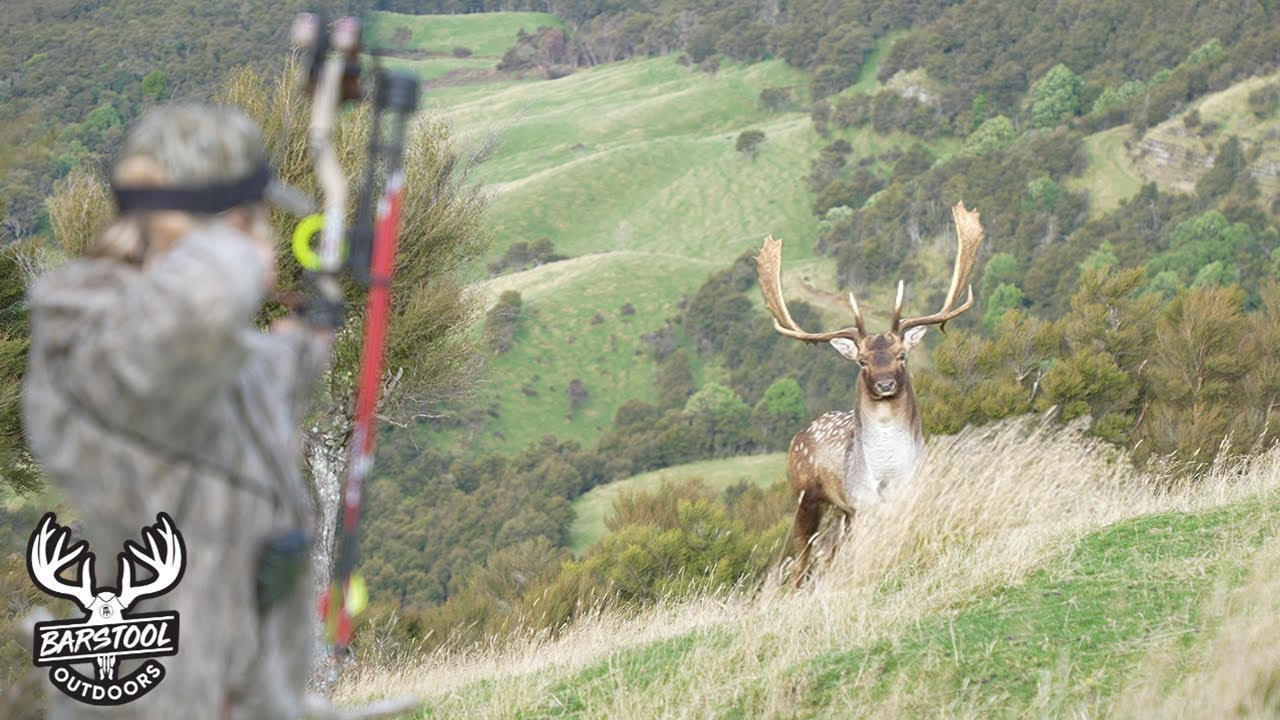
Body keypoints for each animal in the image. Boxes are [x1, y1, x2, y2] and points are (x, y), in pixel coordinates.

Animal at [756, 201, 985, 587]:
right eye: (862, 361)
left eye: (902, 355)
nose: (885, 384)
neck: (887, 476)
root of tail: (799, 435)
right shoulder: (862, 504)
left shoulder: (907, 496)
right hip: (805, 496)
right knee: (802, 560)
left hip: (842, 511)